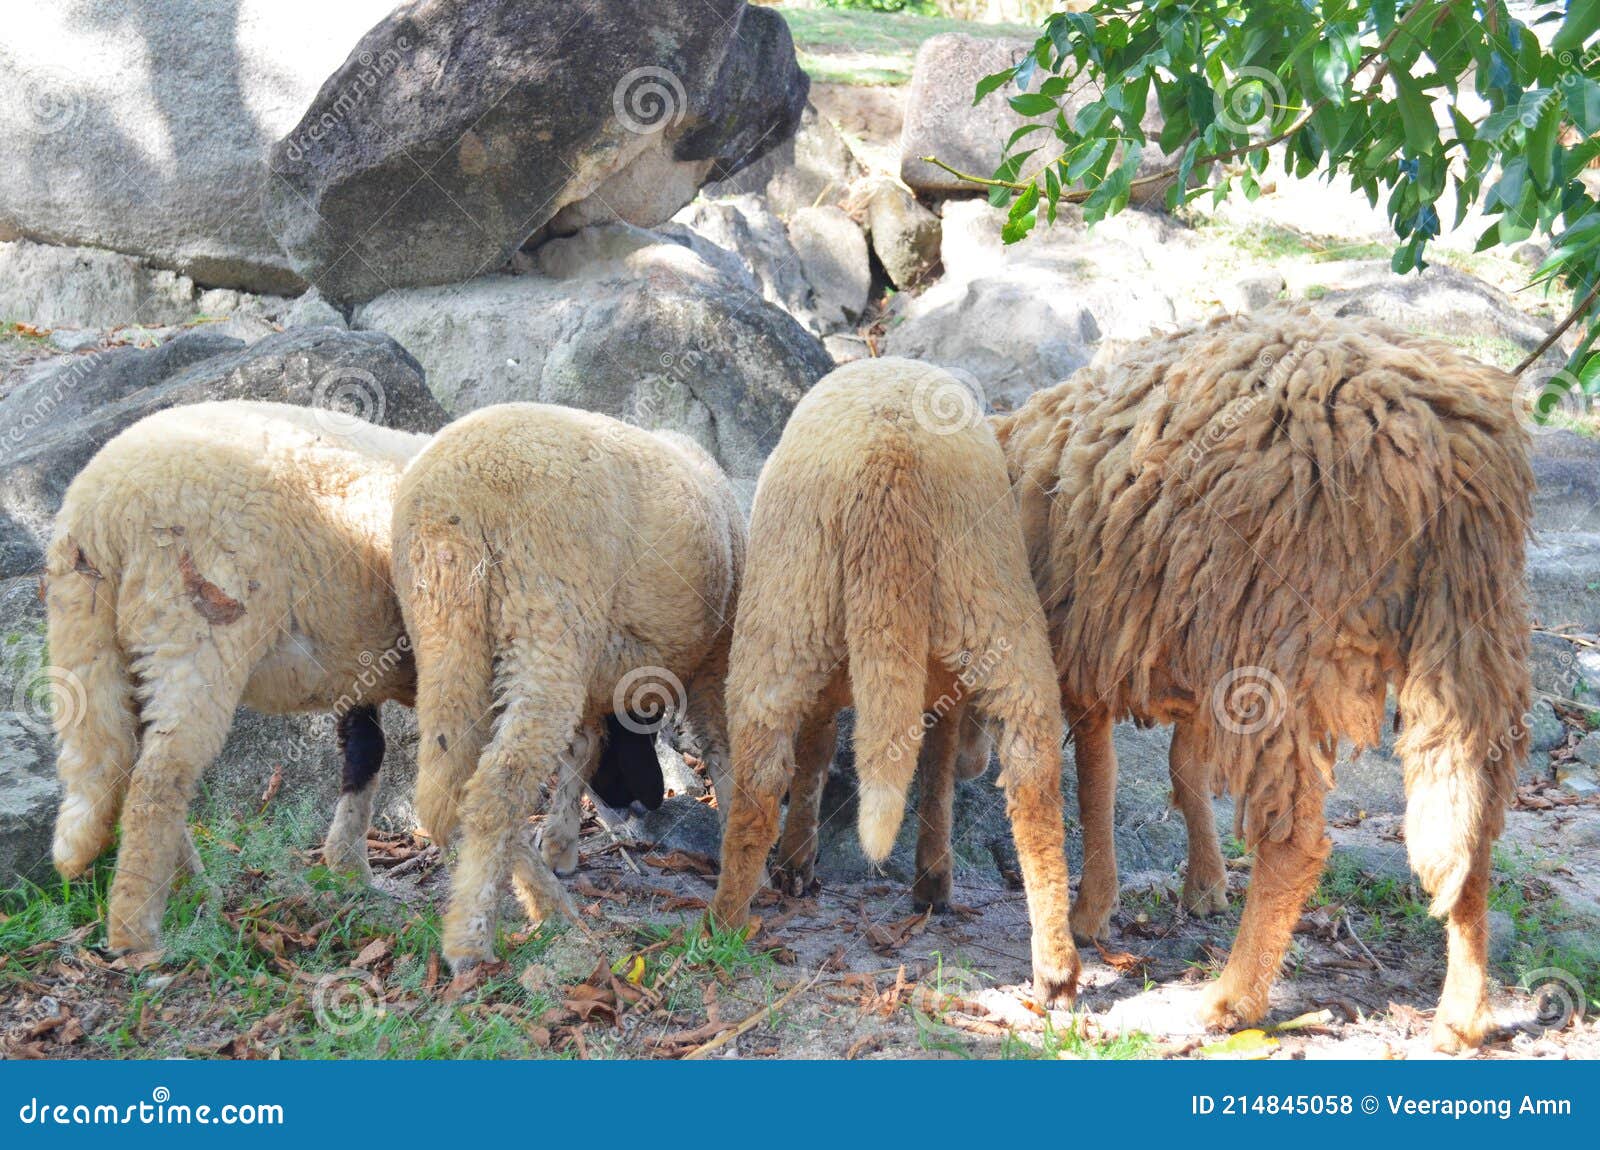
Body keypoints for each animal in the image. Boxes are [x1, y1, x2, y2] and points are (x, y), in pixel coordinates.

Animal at [46, 400, 428, 953]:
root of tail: (95, 511)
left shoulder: (359, 663)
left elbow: (365, 750)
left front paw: (349, 871)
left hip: (95, 635)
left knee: (125, 761)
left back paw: (189, 890)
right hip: (194, 621)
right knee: (160, 776)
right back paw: (138, 936)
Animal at [391, 403, 743, 971]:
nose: (646, 801)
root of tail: (448, 502)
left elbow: (583, 747)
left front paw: (559, 842)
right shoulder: (716, 651)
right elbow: (721, 745)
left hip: (448, 632)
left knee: (454, 782)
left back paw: (537, 896)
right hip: (544, 623)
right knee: (497, 785)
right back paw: (476, 937)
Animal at [708, 357, 1081, 1008]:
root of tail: (890, 467)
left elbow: (816, 756)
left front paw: (798, 864)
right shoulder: (940, 687)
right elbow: (930, 770)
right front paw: (928, 875)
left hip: (783, 619)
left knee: (757, 787)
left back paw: (724, 925)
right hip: (995, 614)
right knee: (1035, 788)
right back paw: (1055, 969)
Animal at [994, 309, 1533, 1050]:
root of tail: (1433, 442)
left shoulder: (1084, 651)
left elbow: (1094, 783)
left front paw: (1089, 912)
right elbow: (1181, 765)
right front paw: (1204, 883)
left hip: (1279, 640)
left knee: (1298, 843)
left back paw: (1232, 1000)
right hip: (1472, 630)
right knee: (1469, 824)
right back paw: (1463, 1014)